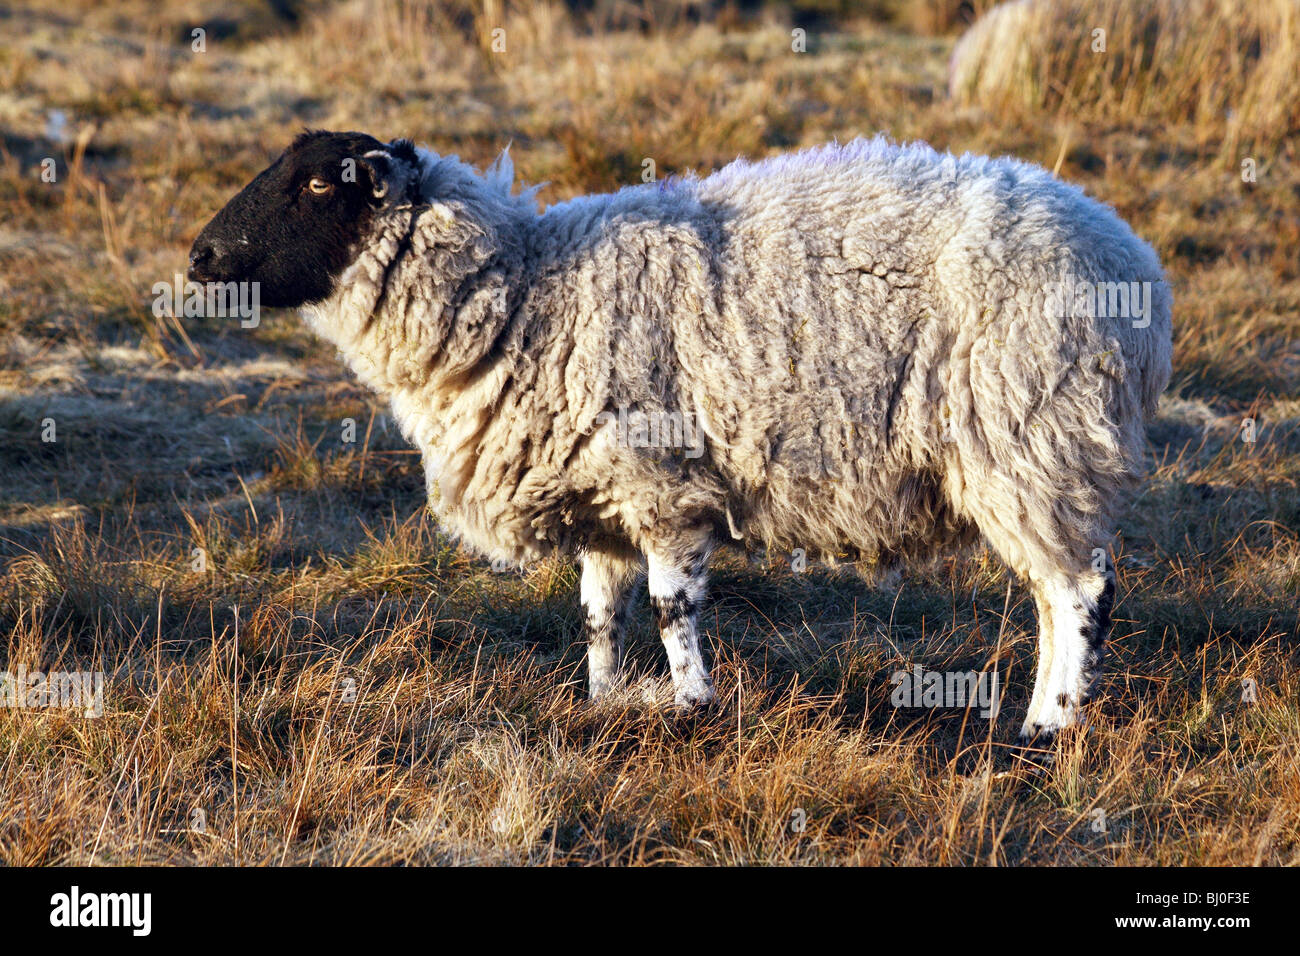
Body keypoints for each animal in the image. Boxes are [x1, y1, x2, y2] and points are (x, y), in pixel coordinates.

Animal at [188, 130, 1172, 753]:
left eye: (323, 183)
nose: (200, 257)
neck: (525, 293)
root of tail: (1141, 274)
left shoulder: (662, 485)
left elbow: (671, 608)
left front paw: (691, 708)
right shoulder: (599, 499)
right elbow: (598, 613)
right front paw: (602, 701)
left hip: (1029, 436)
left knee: (1081, 592)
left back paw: (1051, 729)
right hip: (1031, 460)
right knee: (1051, 594)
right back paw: (1039, 714)